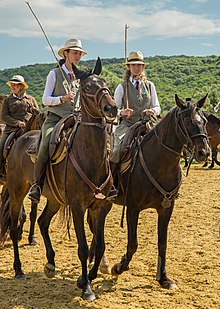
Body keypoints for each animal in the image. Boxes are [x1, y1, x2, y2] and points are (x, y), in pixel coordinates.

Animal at [0, 57, 117, 298]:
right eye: (88, 87)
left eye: (105, 83)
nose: (112, 108)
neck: (89, 155)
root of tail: (18, 140)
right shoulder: (78, 206)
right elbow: (83, 248)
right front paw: (87, 288)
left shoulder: (100, 207)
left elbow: (99, 245)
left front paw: (88, 277)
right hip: (17, 192)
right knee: (15, 227)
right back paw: (18, 269)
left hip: (54, 199)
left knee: (43, 222)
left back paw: (50, 264)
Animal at [91, 93, 210, 288]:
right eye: (187, 120)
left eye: (205, 121)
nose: (204, 153)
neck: (160, 163)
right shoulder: (133, 208)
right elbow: (133, 243)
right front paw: (119, 266)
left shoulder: (166, 208)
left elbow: (163, 243)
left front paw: (163, 278)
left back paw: (97, 261)